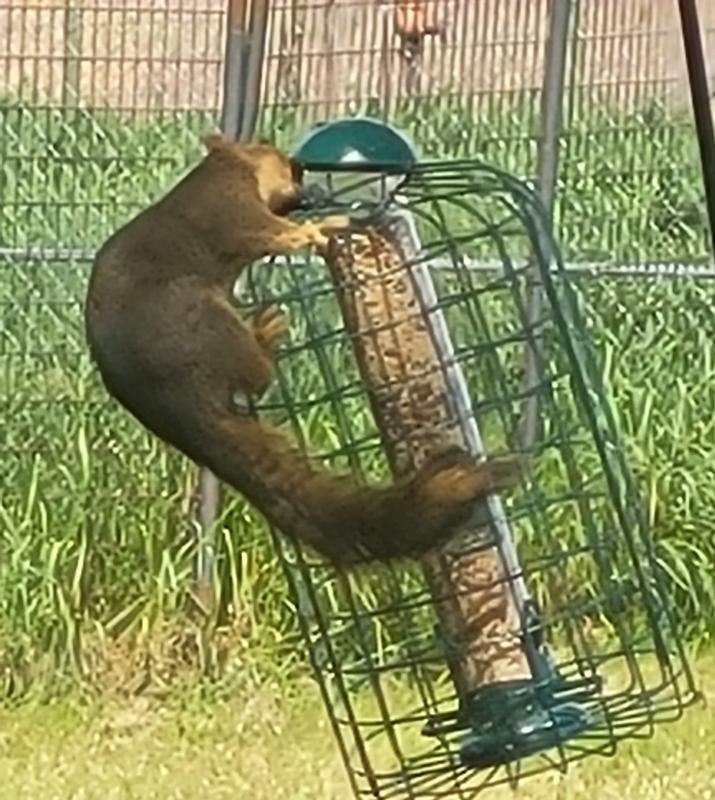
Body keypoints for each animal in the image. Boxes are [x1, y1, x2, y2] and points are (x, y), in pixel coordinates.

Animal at [84, 134, 523, 567]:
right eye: (276, 154)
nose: (305, 181)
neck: (229, 169)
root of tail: (178, 408)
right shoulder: (239, 215)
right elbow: (279, 233)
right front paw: (325, 226)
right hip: (210, 323)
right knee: (257, 377)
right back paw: (265, 335)